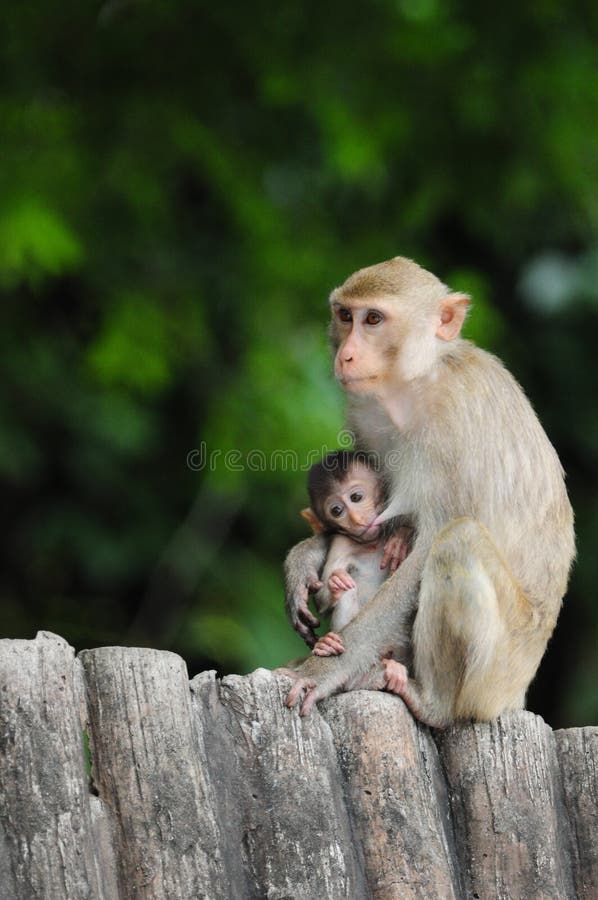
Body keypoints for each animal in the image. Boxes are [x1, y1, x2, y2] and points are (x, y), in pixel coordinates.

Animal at [298, 450, 412, 659]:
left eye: (356, 497)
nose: (356, 519)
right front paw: (335, 582)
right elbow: (322, 601)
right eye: (337, 510)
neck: (373, 543)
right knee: (349, 593)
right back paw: (327, 644)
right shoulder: (341, 544)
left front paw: (401, 538)